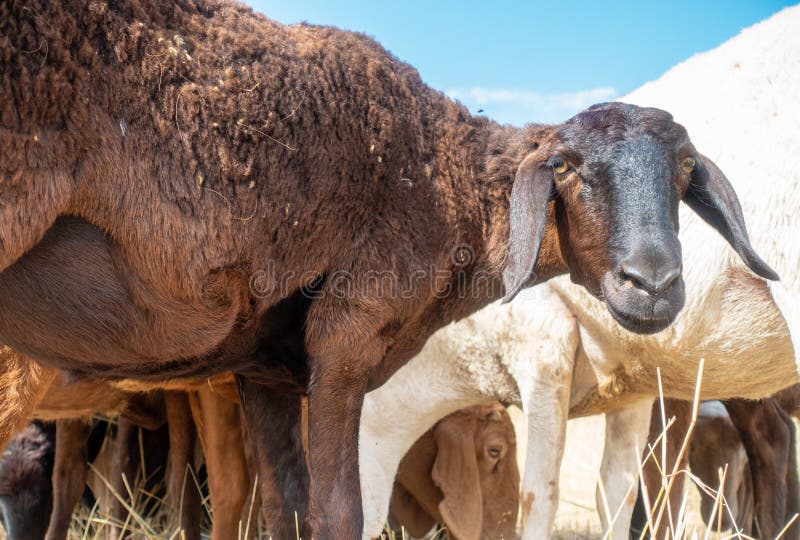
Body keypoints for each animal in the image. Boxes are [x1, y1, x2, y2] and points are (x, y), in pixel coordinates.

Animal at [0, 2, 772, 536]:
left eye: (685, 171)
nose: (654, 283)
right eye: (566, 169)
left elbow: (283, 508)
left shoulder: (263, 368)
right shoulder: (345, 338)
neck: (443, 180)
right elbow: (340, 511)